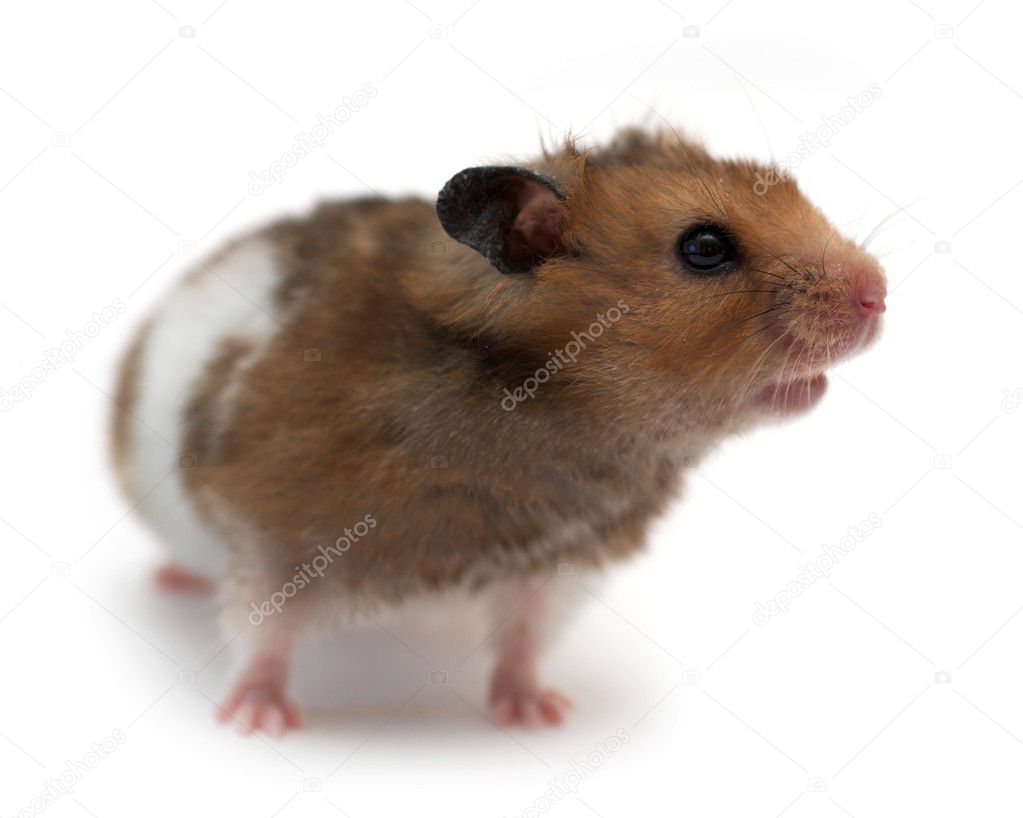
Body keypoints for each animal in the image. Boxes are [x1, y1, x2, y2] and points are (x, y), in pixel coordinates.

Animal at [111, 127, 886, 734]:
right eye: (704, 247)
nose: (879, 292)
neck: (545, 412)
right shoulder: (278, 534)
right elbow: (263, 629)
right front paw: (258, 722)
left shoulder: (553, 562)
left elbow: (523, 637)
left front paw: (538, 715)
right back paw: (175, 583)